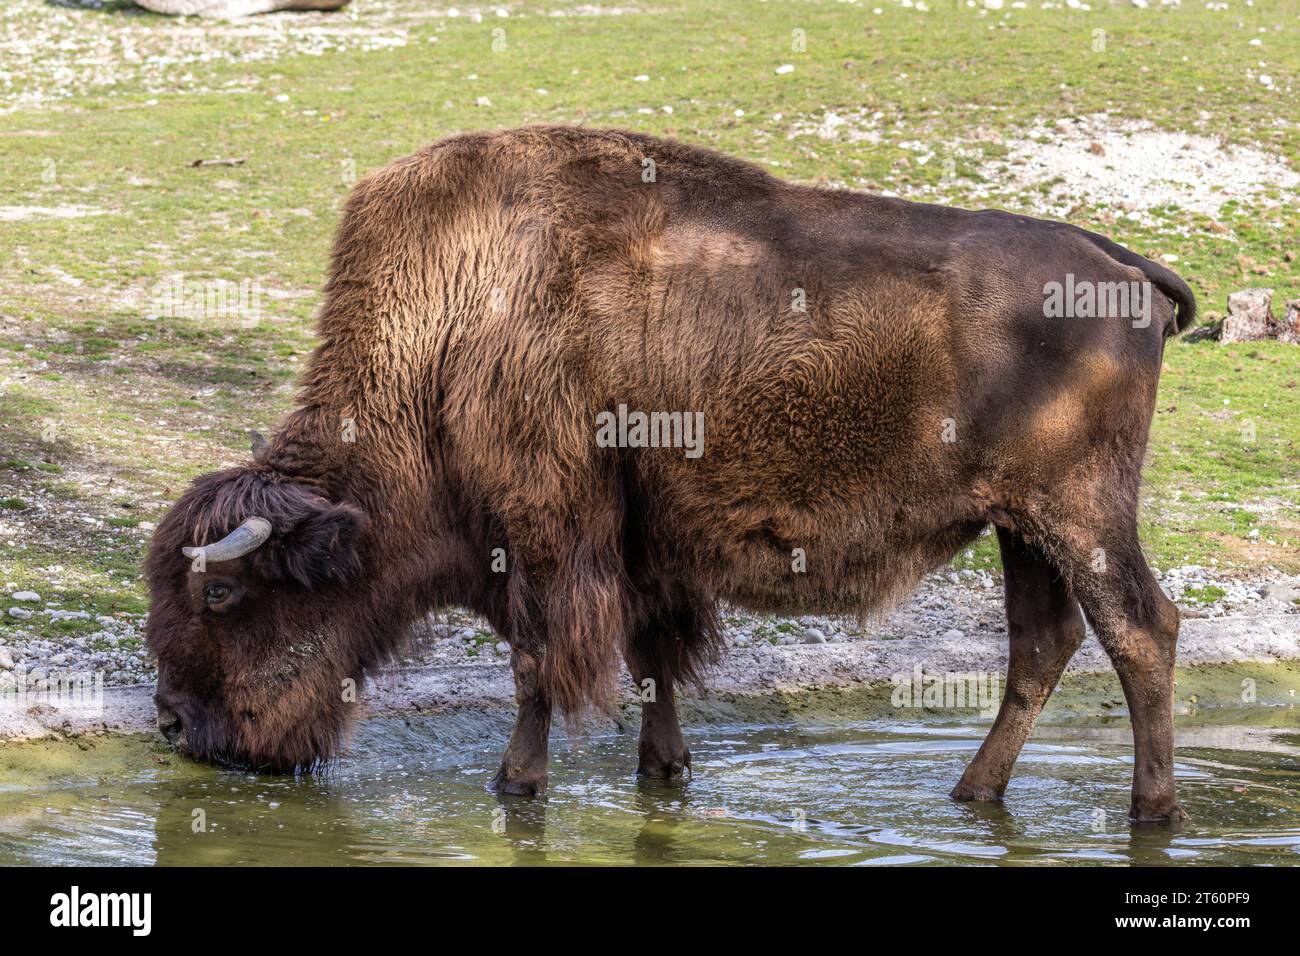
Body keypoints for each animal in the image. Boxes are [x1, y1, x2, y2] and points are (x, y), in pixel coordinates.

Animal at [146, 126, 1195, 821]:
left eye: (224, 594)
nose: (172, 724)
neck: (448, 325)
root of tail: (1123, 262)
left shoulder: (547, 530)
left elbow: (538, 662)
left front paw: (516, 783)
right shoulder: (643, 539)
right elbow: (652, 656)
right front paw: (663, 770)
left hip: (1081, 515)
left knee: (1140, 631)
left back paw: (1150, 811)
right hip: (1023, 527)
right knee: (1042, 644)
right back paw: (973, 794)